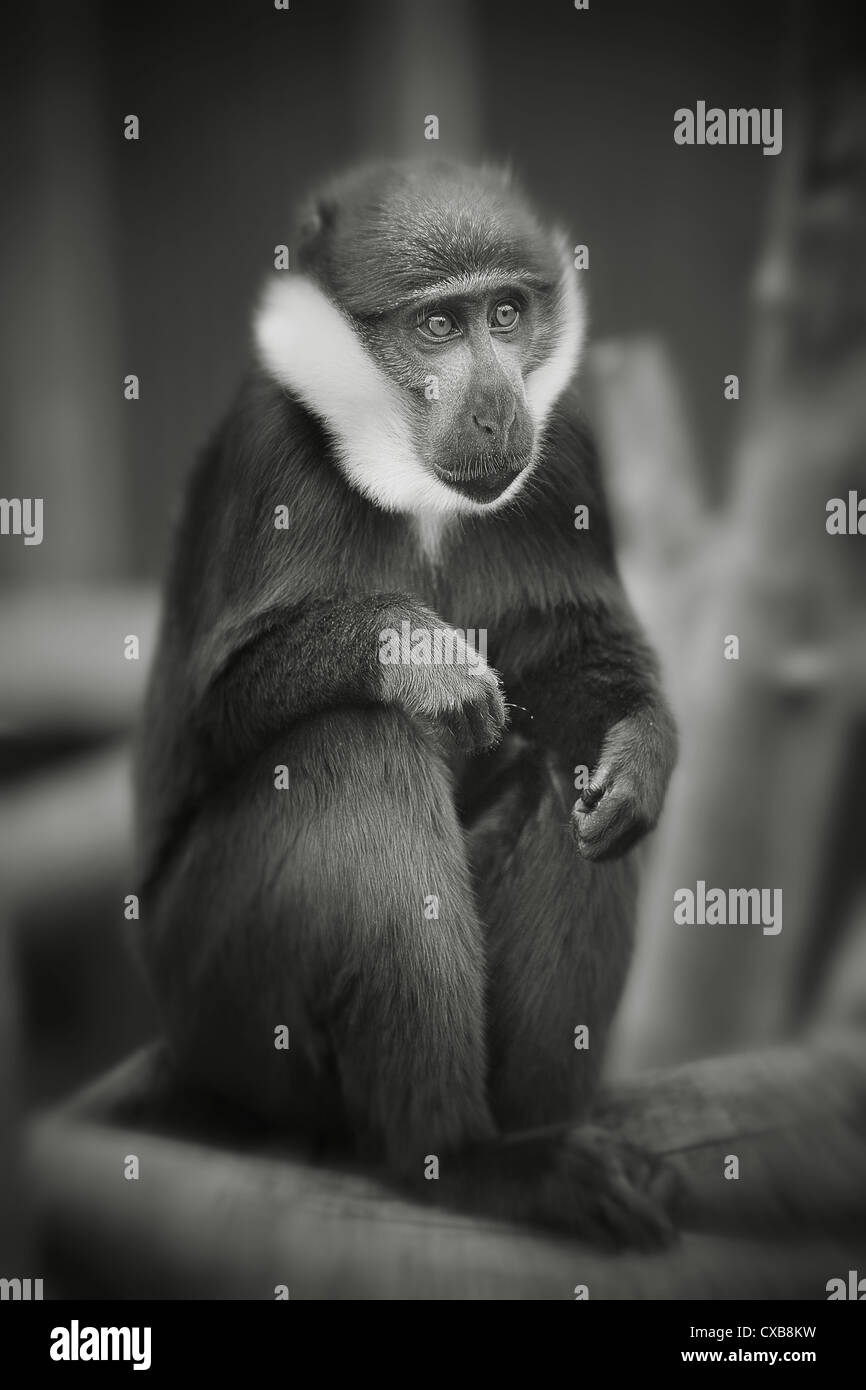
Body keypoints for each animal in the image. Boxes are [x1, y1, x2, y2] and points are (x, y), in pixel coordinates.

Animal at [134, 160, 679, 1250]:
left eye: (506, 314)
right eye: (435, 327)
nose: (496, 410)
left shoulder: (560, 447)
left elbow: (572, 649)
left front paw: (637, 749)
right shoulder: (271, 455)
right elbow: (216, 711)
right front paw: (418, 656)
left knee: (561, 778)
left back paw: (531, 1139)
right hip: (207, 990)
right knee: (354, 749)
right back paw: (456, 1159)